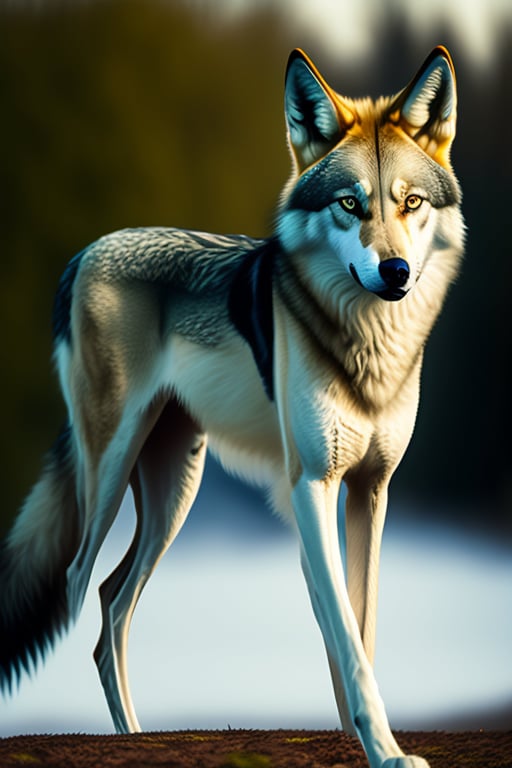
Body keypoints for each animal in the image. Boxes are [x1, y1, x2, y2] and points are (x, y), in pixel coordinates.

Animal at [0, 46, 463, 767]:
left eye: (410, 203)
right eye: (349, 204)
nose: (395, 272)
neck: (368, 354)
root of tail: (83, 253)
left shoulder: (370, 491)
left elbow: (356, 628)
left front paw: (361, 738)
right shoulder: (311, 485)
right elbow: (347, 633)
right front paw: (385, 748)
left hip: (174, 491)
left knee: (110, 602)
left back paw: (135, 734)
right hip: (110, 481)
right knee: (78, 583)